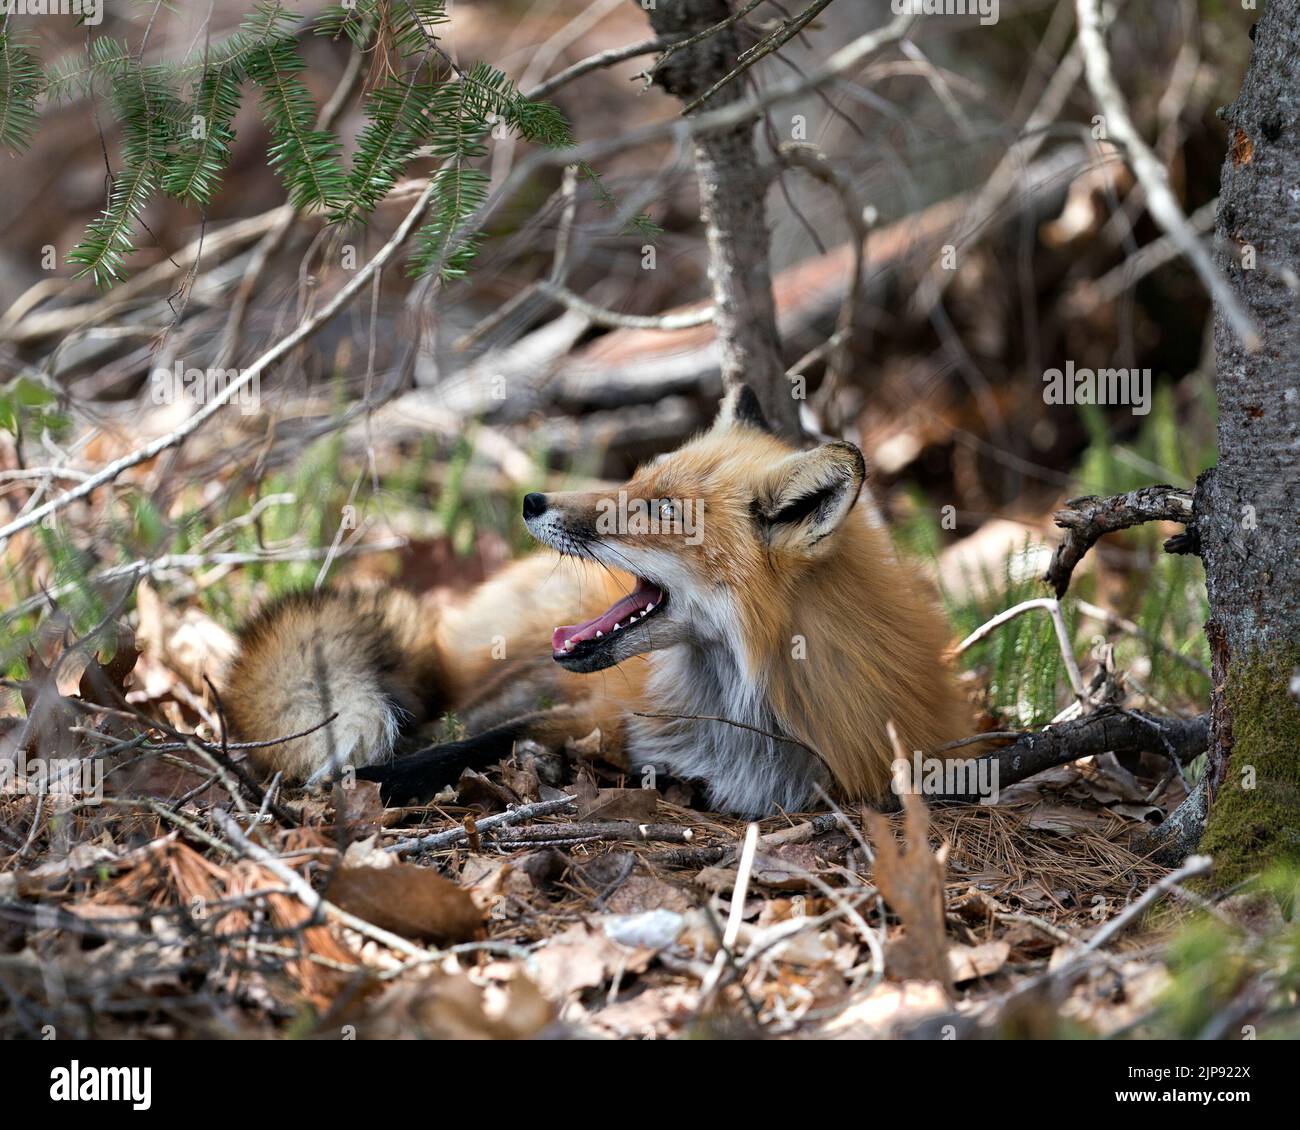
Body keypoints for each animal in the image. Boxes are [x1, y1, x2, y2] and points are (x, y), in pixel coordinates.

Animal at [221, 384, 974, 816]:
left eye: (658, 511)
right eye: (633, 480)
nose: (532, 500)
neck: (731, 721)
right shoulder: (602, 713)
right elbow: (461, 748)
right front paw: (366, 782)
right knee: (456, 713)